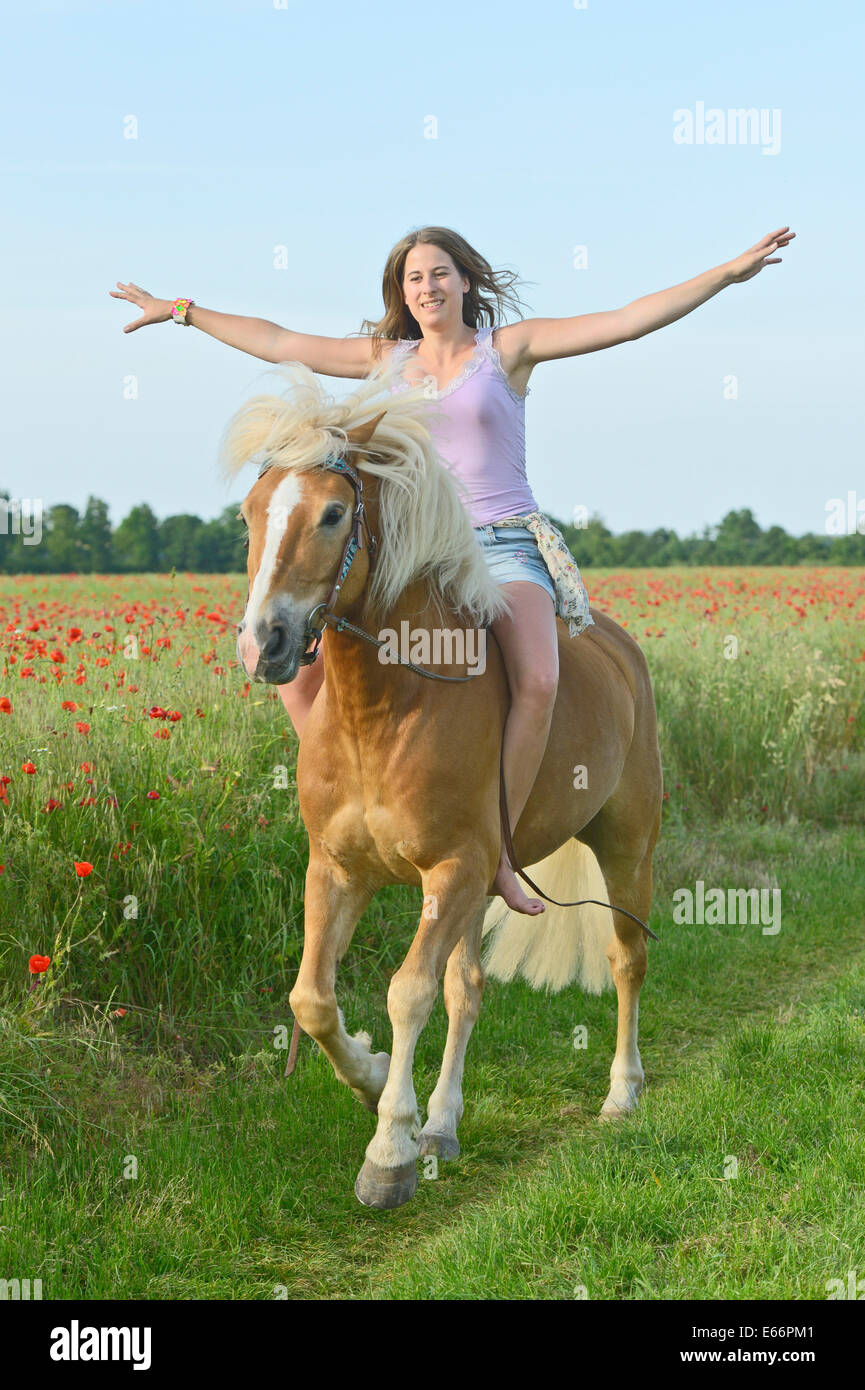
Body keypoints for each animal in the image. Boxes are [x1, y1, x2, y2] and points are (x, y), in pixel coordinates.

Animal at [220, 359, 663, 1211]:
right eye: (254, 512)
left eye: (333, 514)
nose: (265, 644)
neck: (381, 711)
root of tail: (618, 648)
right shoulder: (340, 870)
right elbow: (313, 998)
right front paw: (372, 1083)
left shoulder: (455, 867)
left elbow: (406, 992)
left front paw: (387, 1151)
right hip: (479, 883)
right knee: (469, 986)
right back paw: (443, 1125)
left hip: (623, 847)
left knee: (624, 959)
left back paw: (621, 1094)